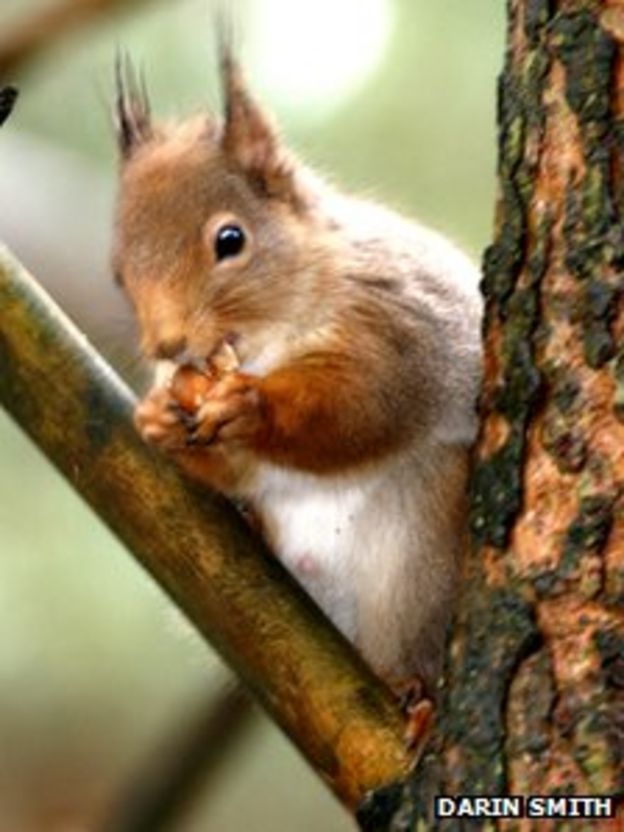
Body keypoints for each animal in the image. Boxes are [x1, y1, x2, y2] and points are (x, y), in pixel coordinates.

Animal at [111, 47, 483, 697]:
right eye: (119, 275)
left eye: (230, 239)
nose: (168, 344)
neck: (271, 344)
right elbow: (241, 468)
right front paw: (157, 418)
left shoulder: (401, 329)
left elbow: (363, 408)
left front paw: (253, 408)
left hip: (425, 551)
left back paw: (409, 691)